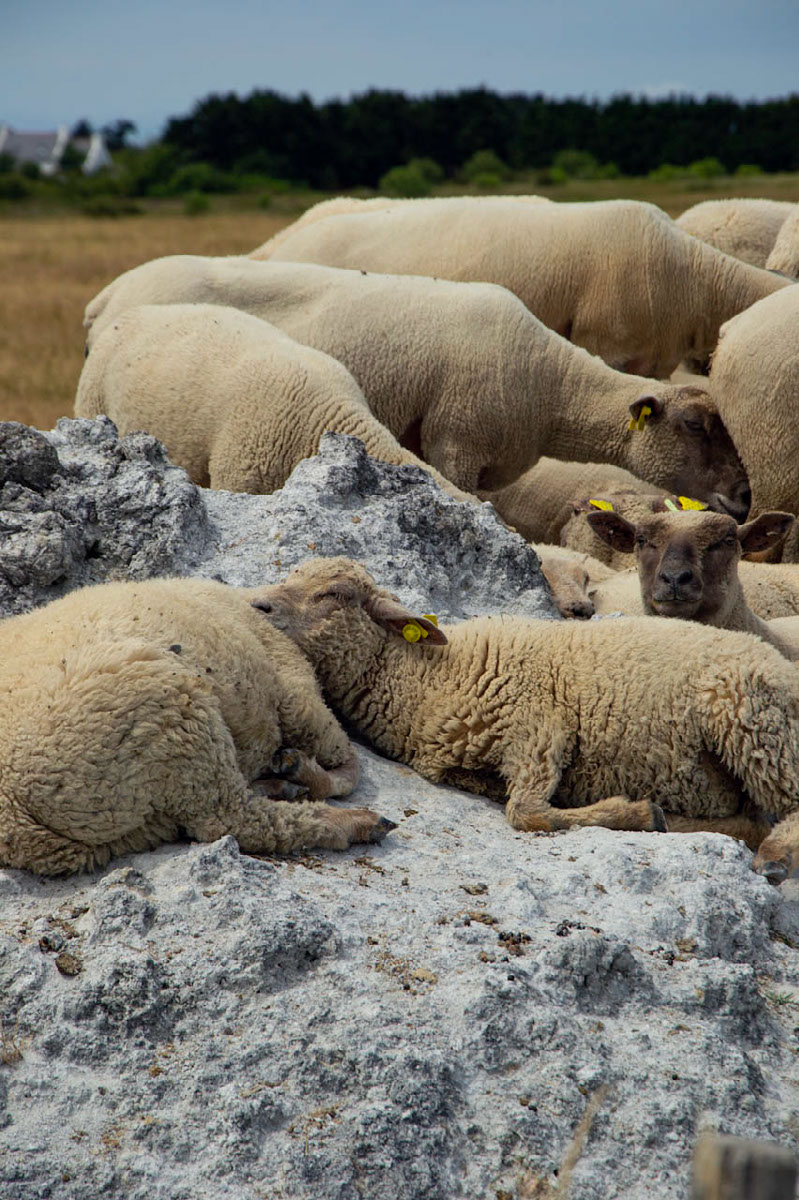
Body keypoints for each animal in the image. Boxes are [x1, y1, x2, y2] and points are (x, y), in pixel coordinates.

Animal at [0, 576, 393, 876]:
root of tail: (14, 816)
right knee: (237, 820)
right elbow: (349, 771)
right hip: (177, 722)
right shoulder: (297, 694)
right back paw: (356, 822)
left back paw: (281, 788)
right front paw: (305, 771)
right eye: (334, 594)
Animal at [252, 556, 799, 882]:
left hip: (753, 722)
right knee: (750, 819)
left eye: (335, 594)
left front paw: (629, 813)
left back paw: (771, 858)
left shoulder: (540, 728)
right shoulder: (470, 764)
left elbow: (528, 813)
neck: (427, 675)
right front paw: (293, 768)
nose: (257, 605)